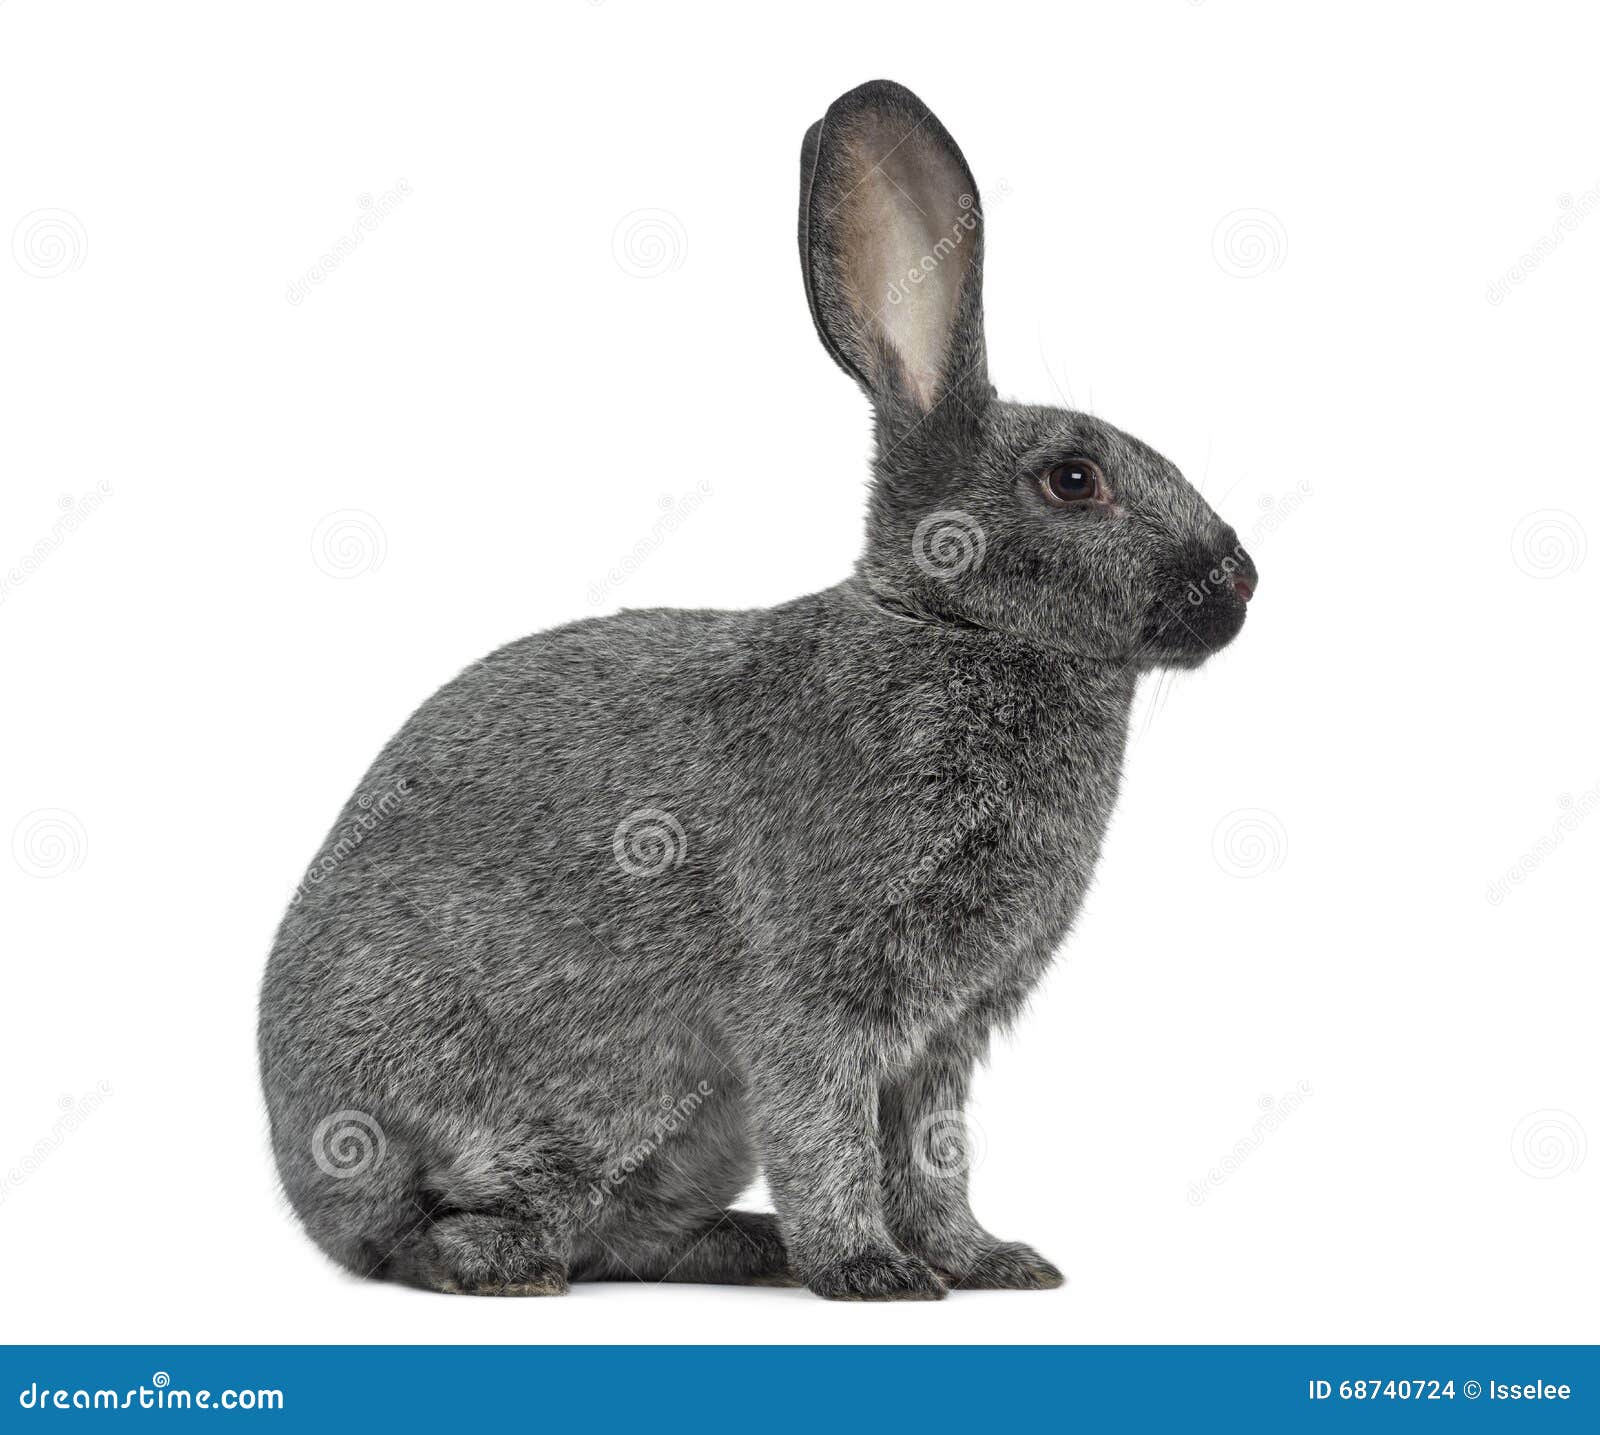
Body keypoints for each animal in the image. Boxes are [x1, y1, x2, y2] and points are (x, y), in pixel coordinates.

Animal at [258, 78, 1257, 1301]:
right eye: (1074, 480)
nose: (1240, 582)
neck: (949, 627)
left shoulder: (940, 1043)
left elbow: (933, 1155)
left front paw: (988, 1262)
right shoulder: (814, 1006)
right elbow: (830, 1139)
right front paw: (871, 1271)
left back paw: (749, 1248)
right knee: (429, 1233)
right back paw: (503, 1262)